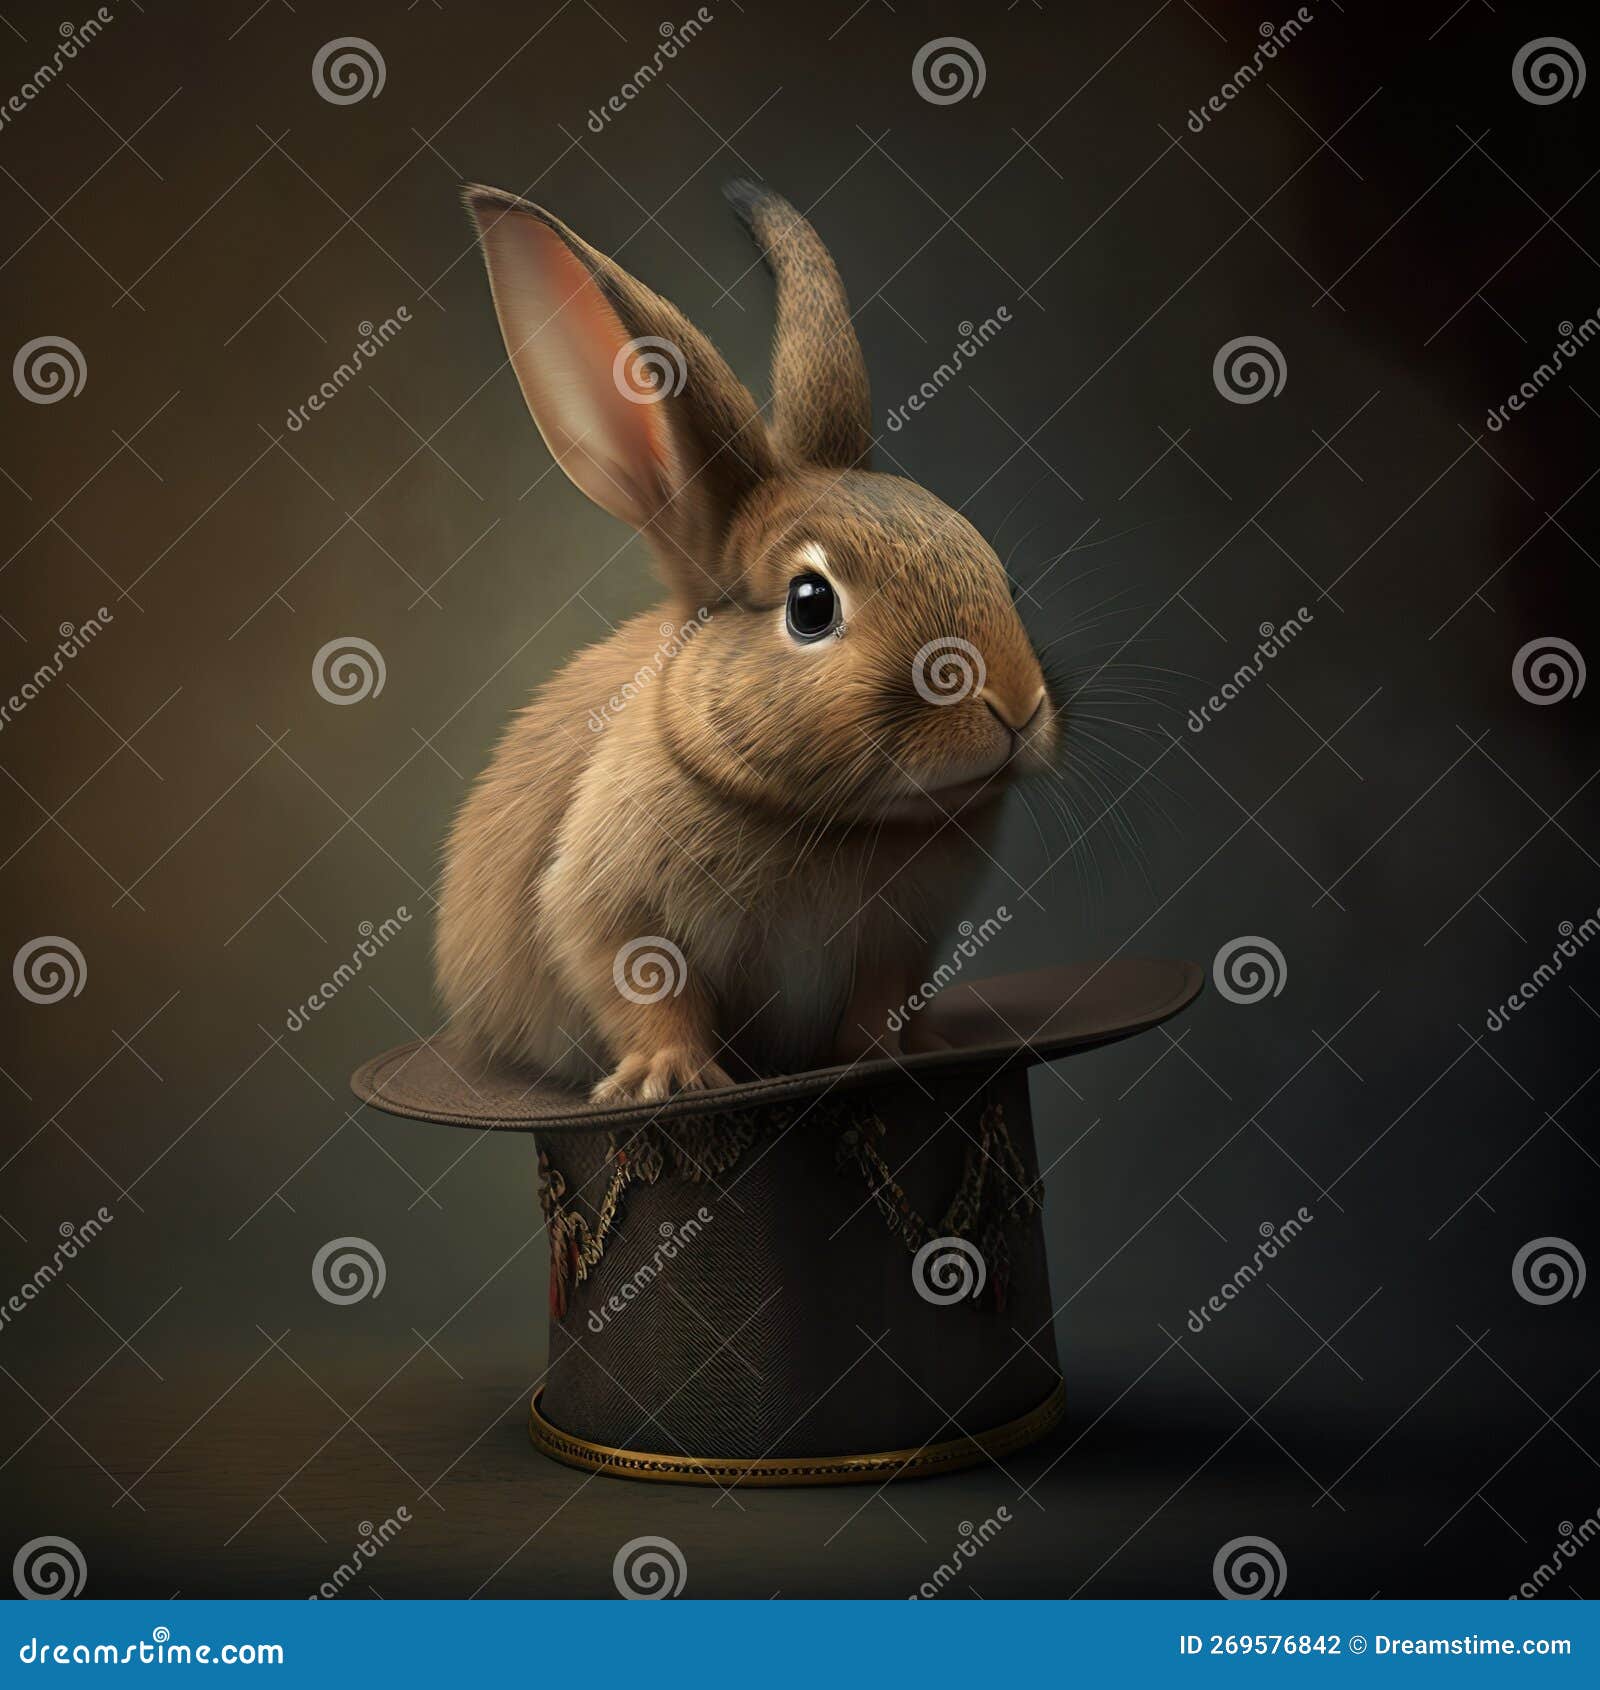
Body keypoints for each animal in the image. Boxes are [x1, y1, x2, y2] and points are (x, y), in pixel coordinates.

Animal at [435, 179, 1060, 1103]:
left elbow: (879, 1005)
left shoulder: (901, 946)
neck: (830, 819)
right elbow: (646, 992)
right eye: (810, 605)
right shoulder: (611, 910)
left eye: (998, 572)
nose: (1016, 708)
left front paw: (891, 1057)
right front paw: (667, 1077)